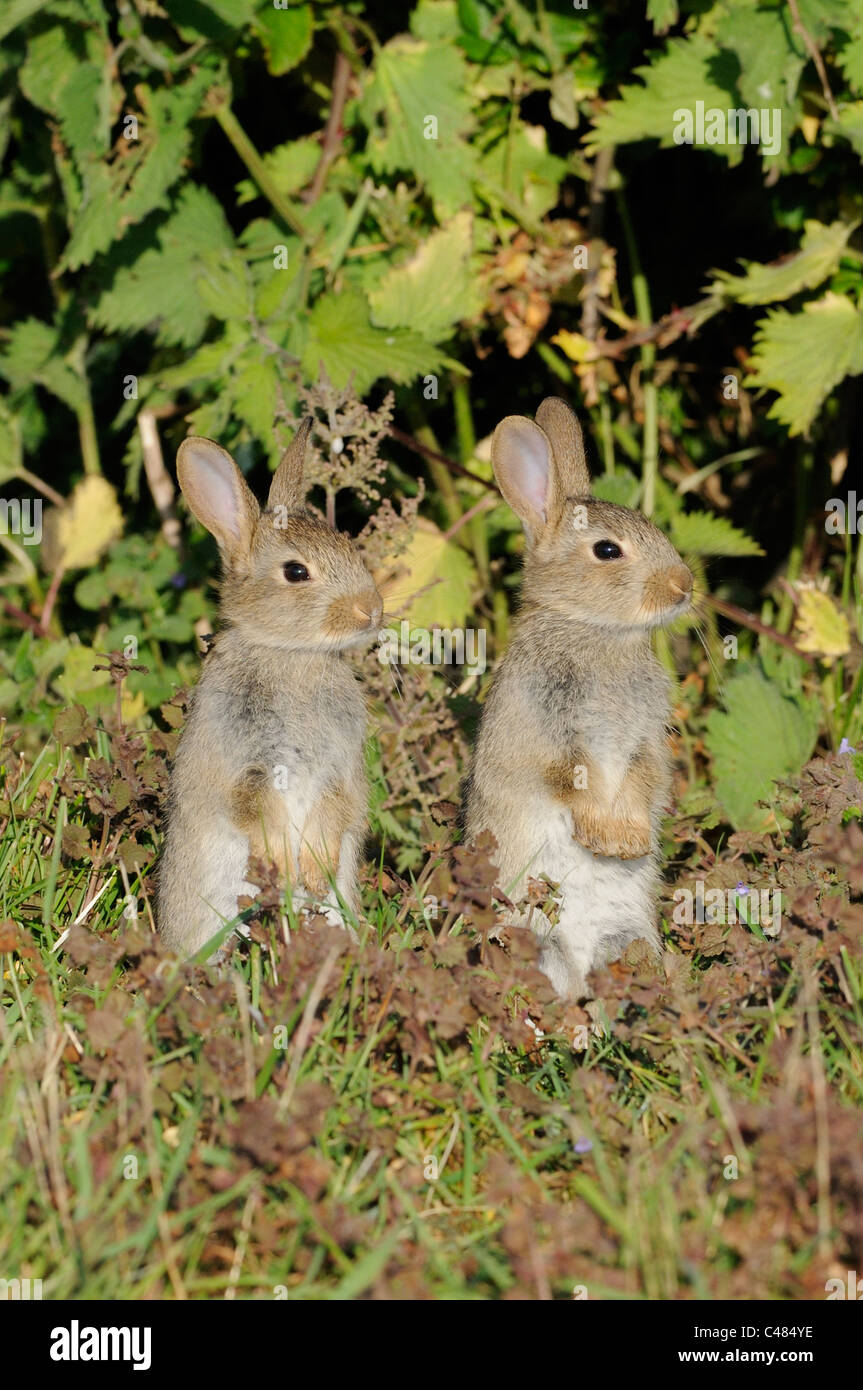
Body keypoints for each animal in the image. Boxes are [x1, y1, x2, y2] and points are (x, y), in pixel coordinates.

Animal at [157, 419, 383, 959]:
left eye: (350, 548)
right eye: (296, 572)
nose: (372, 610)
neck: (289, 653)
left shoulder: (339, 765)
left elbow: (336, 804)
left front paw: (313, 871)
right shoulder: (247, 762)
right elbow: (254, 805)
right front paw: (283, 867)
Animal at [464, 396, 692, 1000]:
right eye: (607, 550)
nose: (683, 585)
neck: (593, 630)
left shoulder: (646, 739)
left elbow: (641, 775)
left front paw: (626, 841)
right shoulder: (549, 730)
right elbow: (571, 778)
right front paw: (604, 835)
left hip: (624, 935)